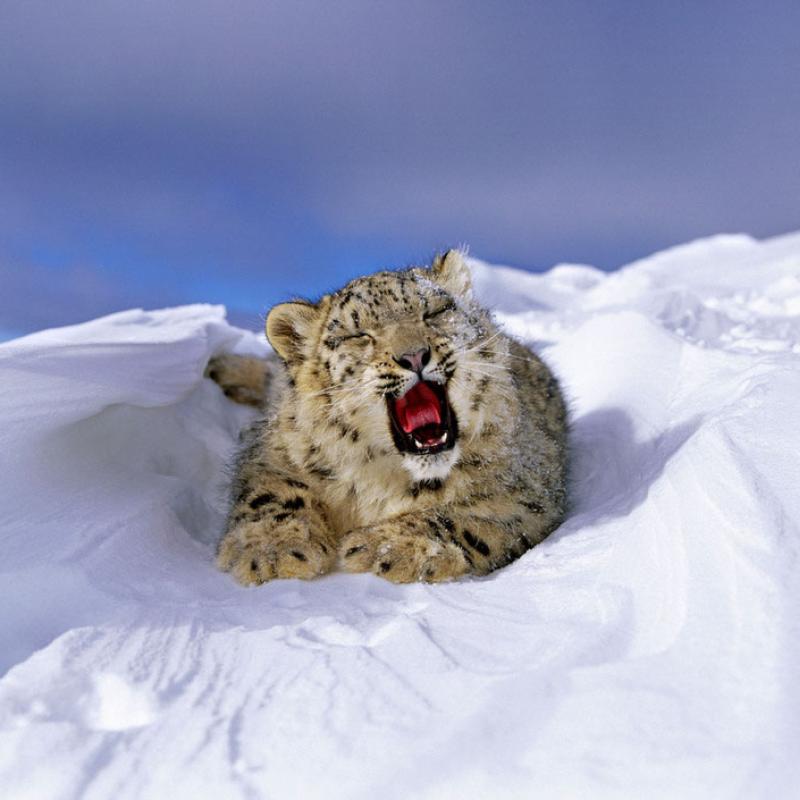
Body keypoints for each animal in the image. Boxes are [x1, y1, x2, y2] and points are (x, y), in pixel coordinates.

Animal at [207, 250, 568, 585]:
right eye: (359, 335)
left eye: (434, 312)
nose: (414, 355)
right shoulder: (273, 455)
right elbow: (272, 494)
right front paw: (272, 551)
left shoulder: (525, 492)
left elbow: (464, 517)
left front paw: (384, 547)